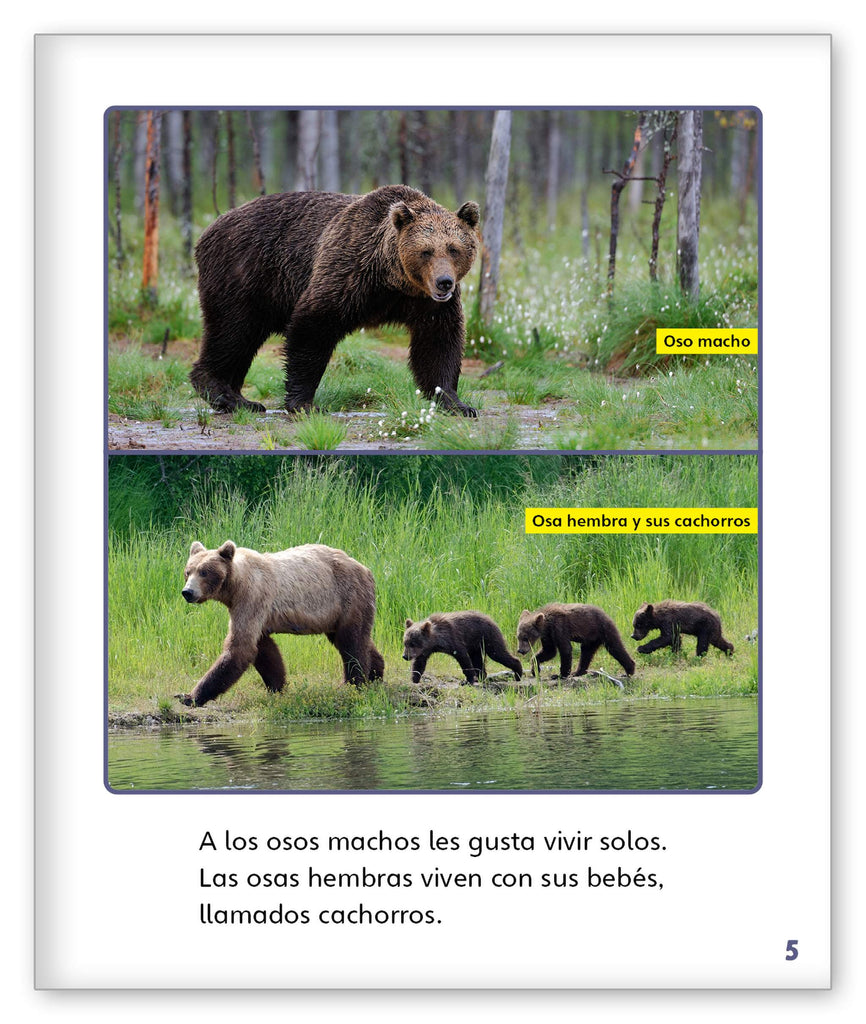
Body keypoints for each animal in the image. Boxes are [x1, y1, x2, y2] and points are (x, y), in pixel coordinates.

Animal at [177, 540, 384, 706]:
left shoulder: (252, 597)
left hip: (348, 596)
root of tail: (366, 569)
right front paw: (277, 686)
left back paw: (353, 683)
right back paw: (376, 674)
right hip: (335, 613)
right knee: (355, 639)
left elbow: (239, 648)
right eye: (188, 571)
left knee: (351, 641)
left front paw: (189, 696)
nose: (187, 592)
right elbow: (264, 650)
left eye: (204, 572)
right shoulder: (253, 612)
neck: (234, 587)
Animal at [190, 185, 481, 418]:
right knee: (232, 331)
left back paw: (242, 399)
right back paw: (223, 394)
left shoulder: (426, 303)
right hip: (244, 274)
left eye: (454, 248)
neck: (393, 281)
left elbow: (438, 343)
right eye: (426, 251)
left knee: (242, 339)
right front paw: (304, 403)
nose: (444, 282)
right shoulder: (349, 271)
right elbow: (313, 325)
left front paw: (456, 403)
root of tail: (209, 228)